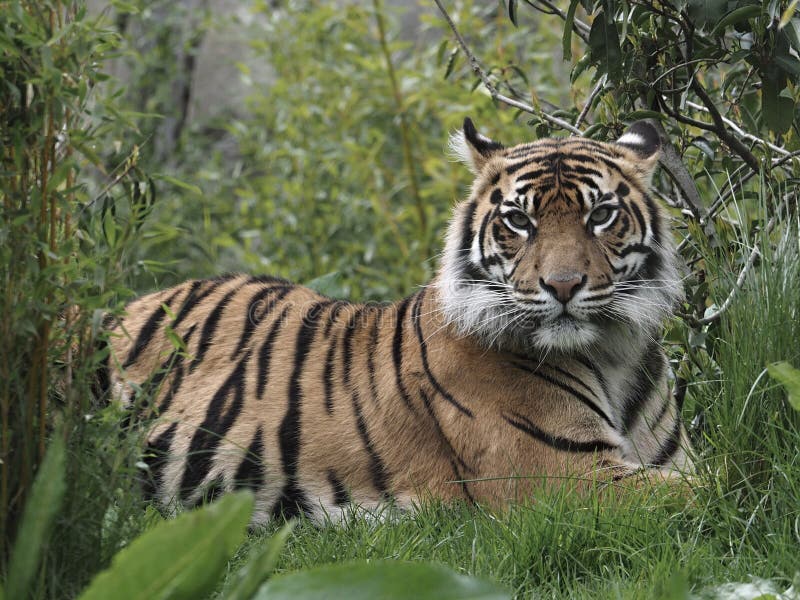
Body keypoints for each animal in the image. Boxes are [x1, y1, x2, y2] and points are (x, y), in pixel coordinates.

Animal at [107, 119, 692, 524]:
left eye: (601, 215)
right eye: (519, 221)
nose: (563, 285)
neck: (613, 350)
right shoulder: (565, 477)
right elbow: (710, 489)